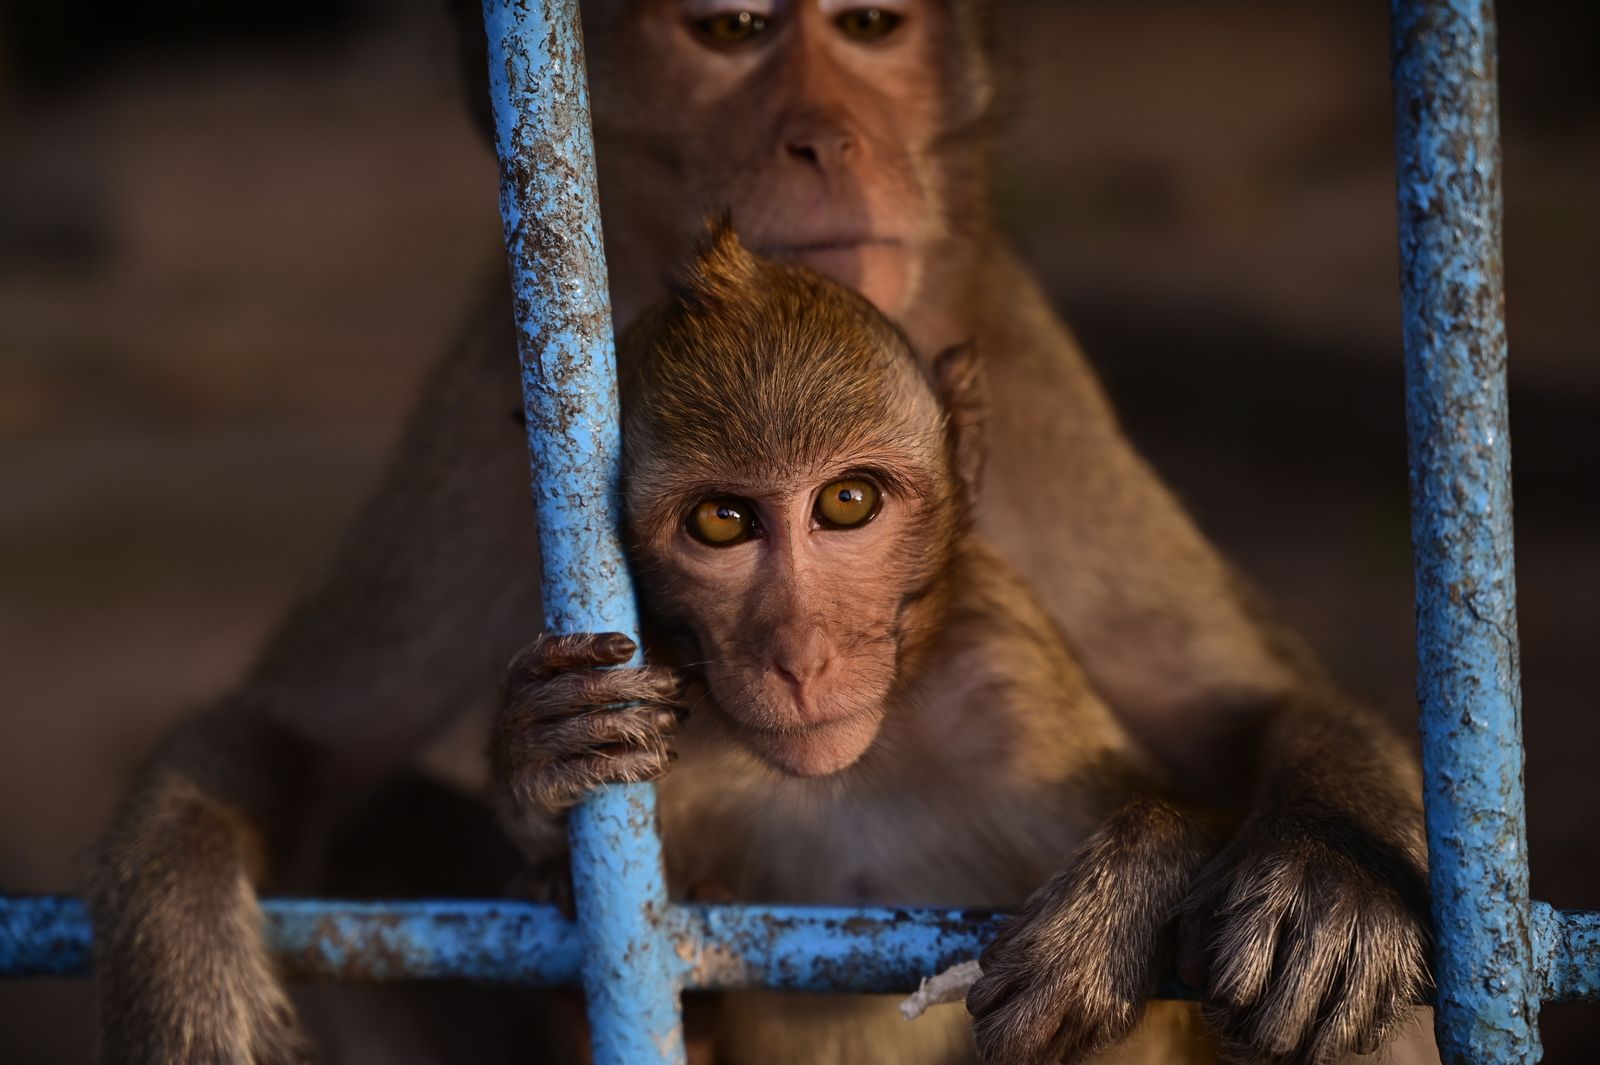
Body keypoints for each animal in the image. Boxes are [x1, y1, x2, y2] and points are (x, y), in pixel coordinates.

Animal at [491, 217, 1223, 1065]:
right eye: (721, 519)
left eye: (847, 501)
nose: (802, 658)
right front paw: (536, 750)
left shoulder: (1013, 690)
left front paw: (1131, 887)